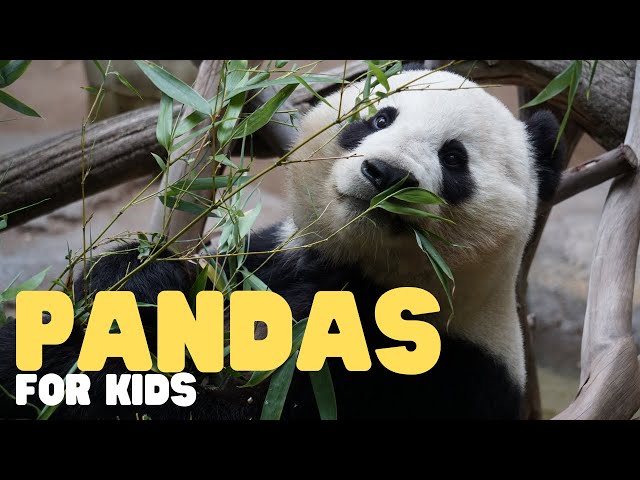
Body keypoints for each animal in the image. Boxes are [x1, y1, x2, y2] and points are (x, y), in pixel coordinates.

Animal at [0, 66, 563, 420]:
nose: (385, 174)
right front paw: (139, 280)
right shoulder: (264, 260)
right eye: (380, 117)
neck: (359, 268)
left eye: (453, 158)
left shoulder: (430, 367)